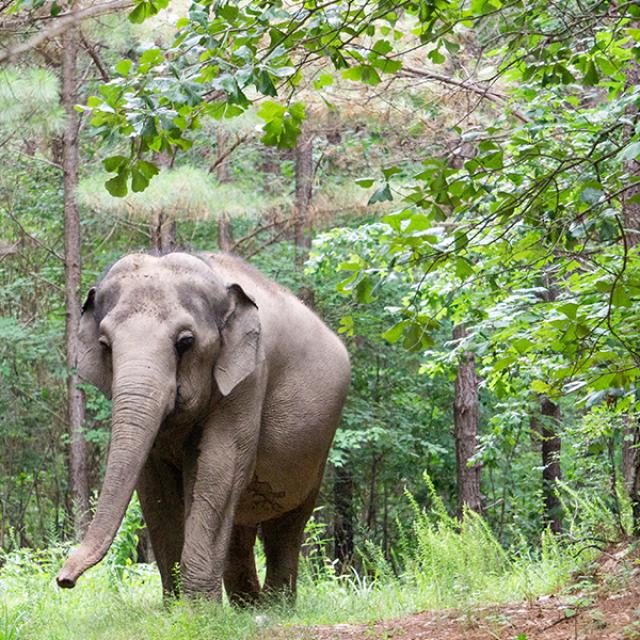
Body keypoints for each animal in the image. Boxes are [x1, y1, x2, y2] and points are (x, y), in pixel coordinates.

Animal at [56, 251, 350, 602]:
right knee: (240, 530)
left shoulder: (250, 377)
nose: (63, 580)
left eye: (185, 342)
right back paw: (249, 605)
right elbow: (154, 486)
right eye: (105, 345)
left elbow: (219, 468)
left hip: (317, 450)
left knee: (286, 526)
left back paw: (275, 606)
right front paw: (175, 607)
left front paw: (197, 609)